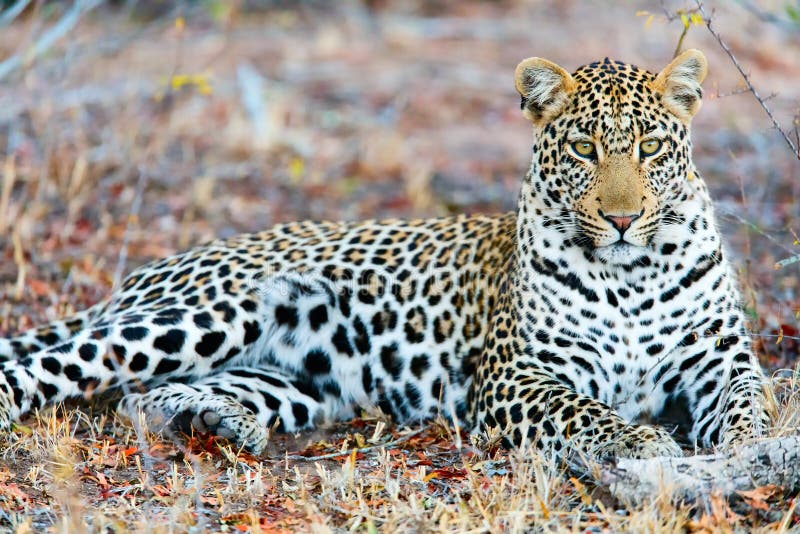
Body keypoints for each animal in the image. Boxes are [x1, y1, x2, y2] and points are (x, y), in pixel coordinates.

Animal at [0, 49, 770, 460]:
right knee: (60, 364)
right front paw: (639, 443)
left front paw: (751, 452)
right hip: (210, 314)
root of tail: (144, 273)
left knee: (144, 397)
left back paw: (216, 422)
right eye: (583, 149)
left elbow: (752, 400)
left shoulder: (718, 359)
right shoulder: (518, 376)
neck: (631, 273)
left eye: (652, 148)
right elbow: (584, 412)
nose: (622, 218)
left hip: (298, 384)